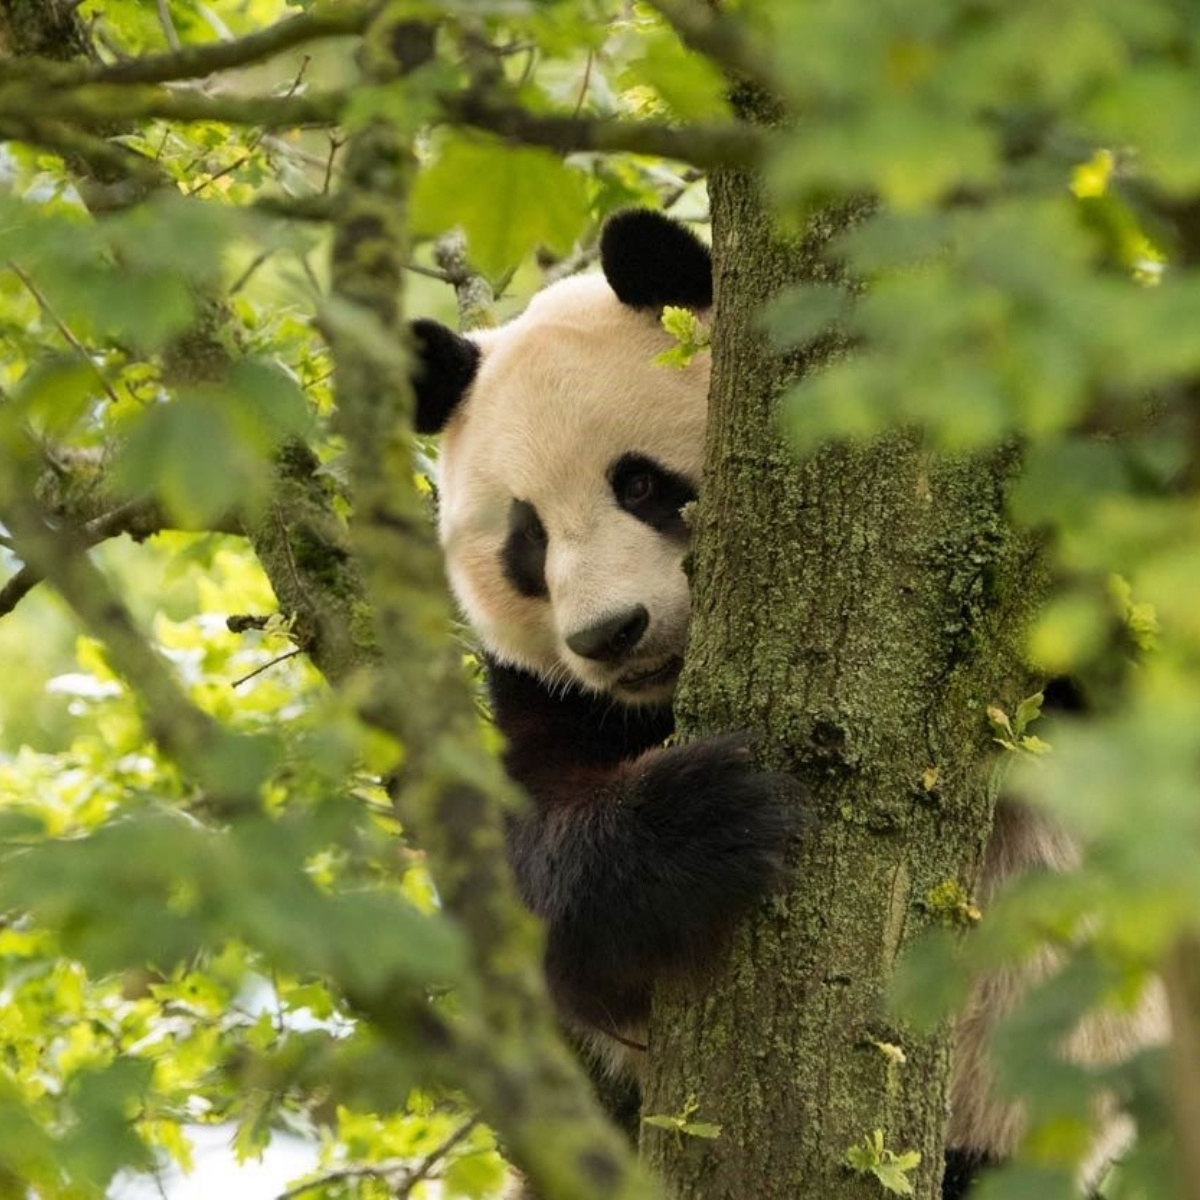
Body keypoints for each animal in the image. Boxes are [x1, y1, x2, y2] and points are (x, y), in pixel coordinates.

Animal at [409, 209, 1161, 1199]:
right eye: (525, 540)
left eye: (639, 484)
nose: (611, 634)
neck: (663, 696)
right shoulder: (547, 694)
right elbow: (523, 872)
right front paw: (706, 816)